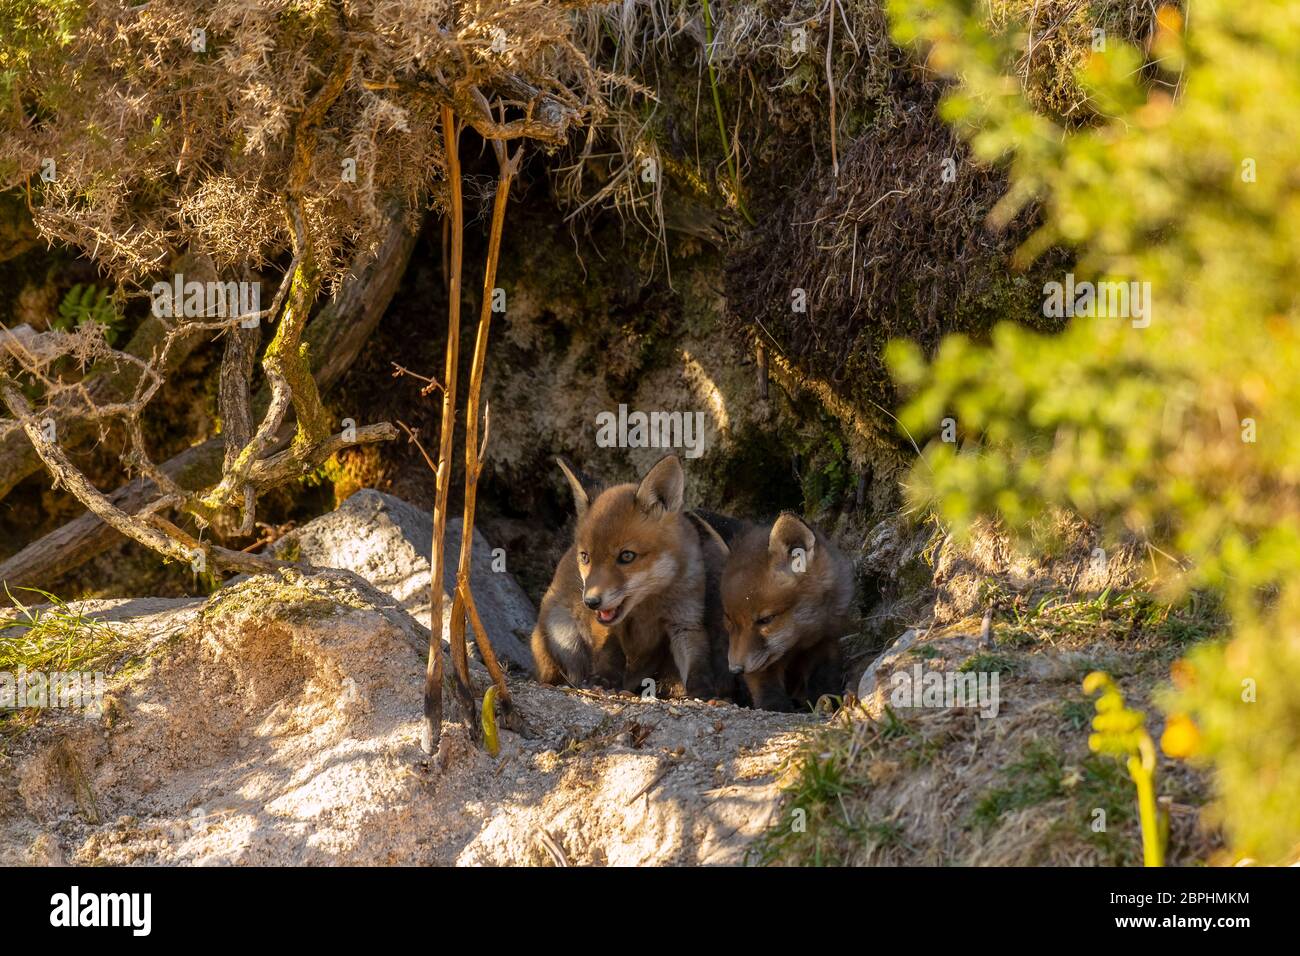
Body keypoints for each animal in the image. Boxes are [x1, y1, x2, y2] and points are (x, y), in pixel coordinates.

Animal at [529, 454, 730, 699]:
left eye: (626, 556)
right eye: (585, 557)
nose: (591, 602)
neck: (647, 605)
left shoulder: (685, 619)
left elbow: (697, 662)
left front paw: (703, 691)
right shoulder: (602, 624)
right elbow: (611, 650)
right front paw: (605, 679)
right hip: (563, 634)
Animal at [710, 512, 854, 712]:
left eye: (766, 619)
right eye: (730, 621)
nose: (736, 669)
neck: (803, 636)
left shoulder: (826, 640)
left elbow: (823, 679)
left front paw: (828, 701)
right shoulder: (761, 661)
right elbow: (766, 686)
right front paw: (776, 706)